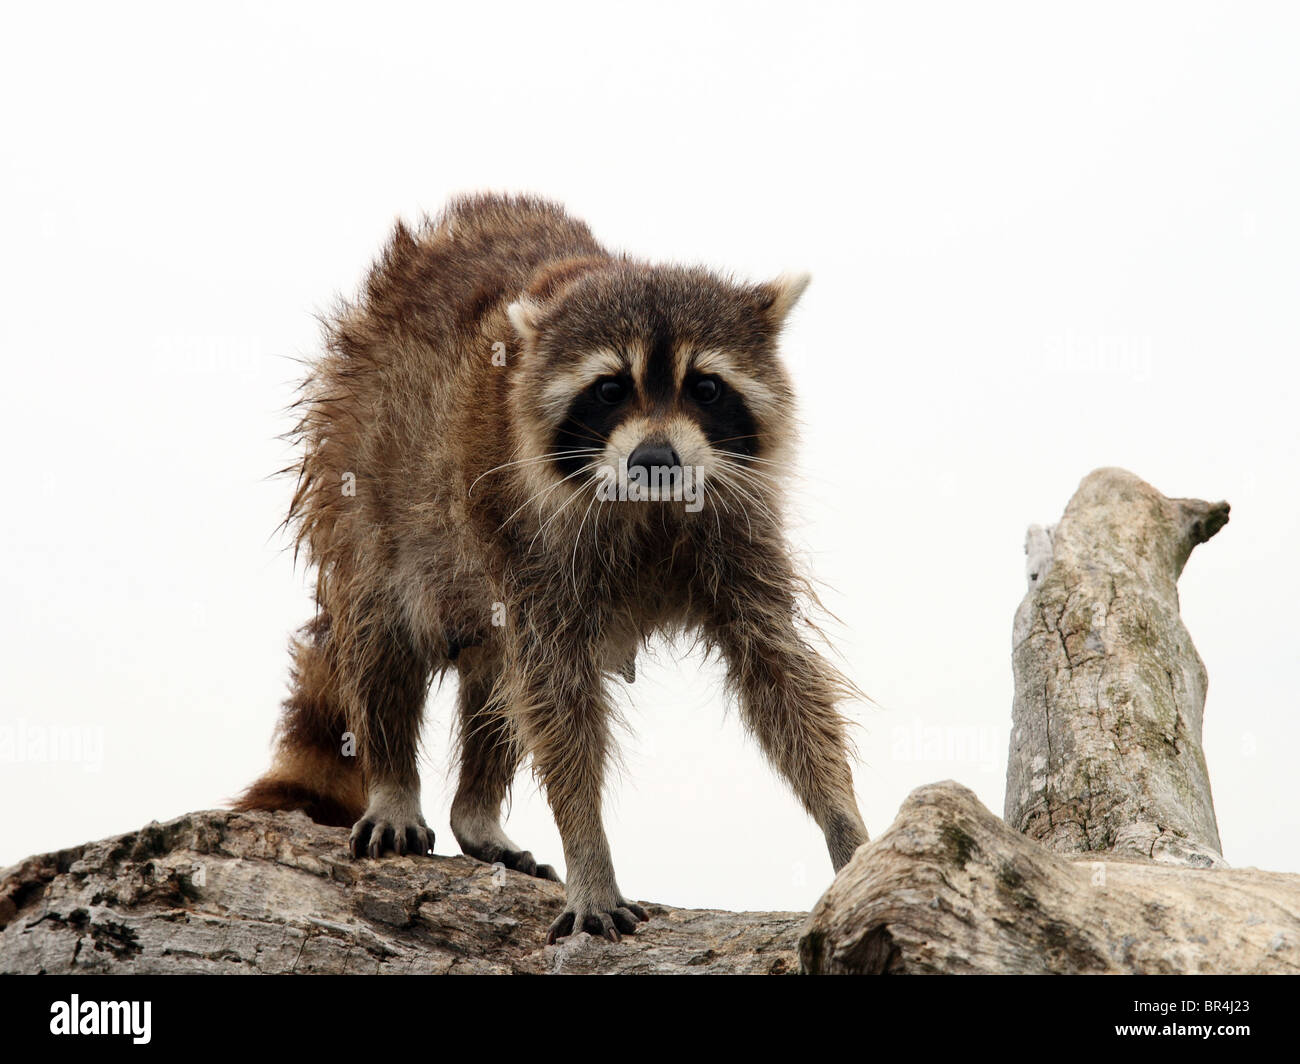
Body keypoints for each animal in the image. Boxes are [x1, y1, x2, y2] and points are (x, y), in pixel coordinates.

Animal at [235, 193, 870, 942]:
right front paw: (589, 853)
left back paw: (475, 808)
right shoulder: (527, 537)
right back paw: (394, 782)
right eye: (610, 390)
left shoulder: (738, 530)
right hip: (362, 466)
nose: (655, 459)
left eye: (706, 388)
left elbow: (779, 671)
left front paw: (845, 824)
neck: (647, 507)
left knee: (498, 679)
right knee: (384, 635)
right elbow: (561, 705)